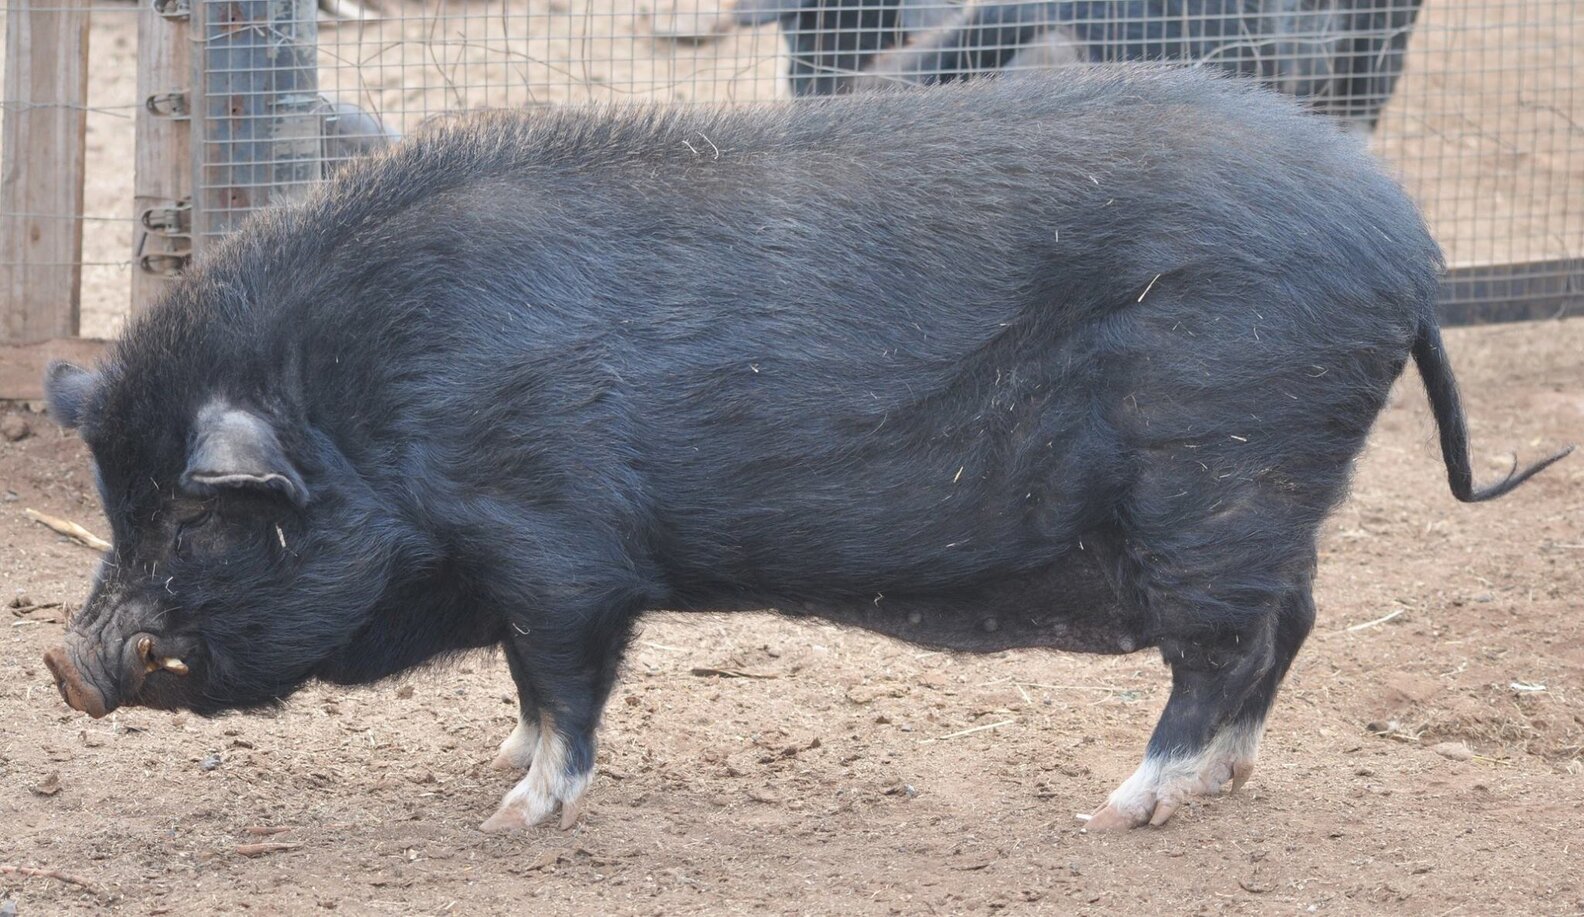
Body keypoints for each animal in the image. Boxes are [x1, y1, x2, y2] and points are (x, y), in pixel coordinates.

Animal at [41, 66, 1568, 832]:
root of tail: (1411, 253)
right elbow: (528, 690)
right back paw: (1221, 783)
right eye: (119, 506)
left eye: (190, 515)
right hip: (1275, 494)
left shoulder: (558, 544)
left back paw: (1121, 807)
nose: (62, 662)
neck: (371, 400)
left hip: (1224, 476)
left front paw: (513, 819)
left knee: (1225, 647)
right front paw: (493, 774)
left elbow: (564, 682)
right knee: (1292, 625)